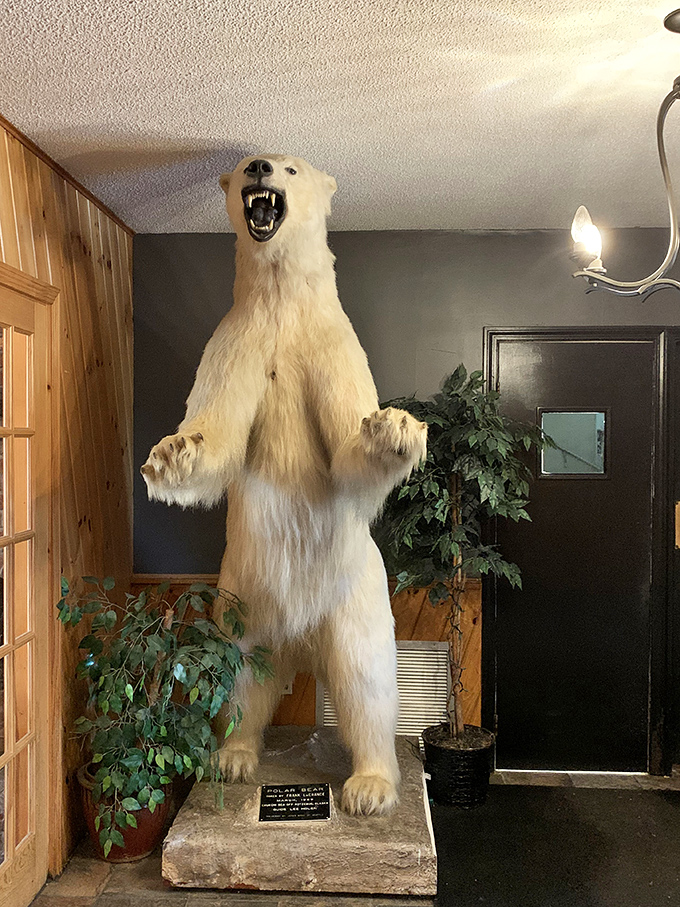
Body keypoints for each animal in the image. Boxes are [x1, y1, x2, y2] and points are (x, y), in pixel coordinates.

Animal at [141, 154, 427, 816]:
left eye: (291, 167)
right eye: (246, 161)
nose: (261, 167)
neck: (279, 303)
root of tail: (302, 643)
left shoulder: (332, 345)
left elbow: (347, 447)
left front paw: (392, 427)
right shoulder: (234, 345)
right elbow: (218, 434)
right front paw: (171, 453)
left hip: (353, 598)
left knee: (365, 679)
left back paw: (370, 786)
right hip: (243, 601)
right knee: (242, 676)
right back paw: (233, 757)